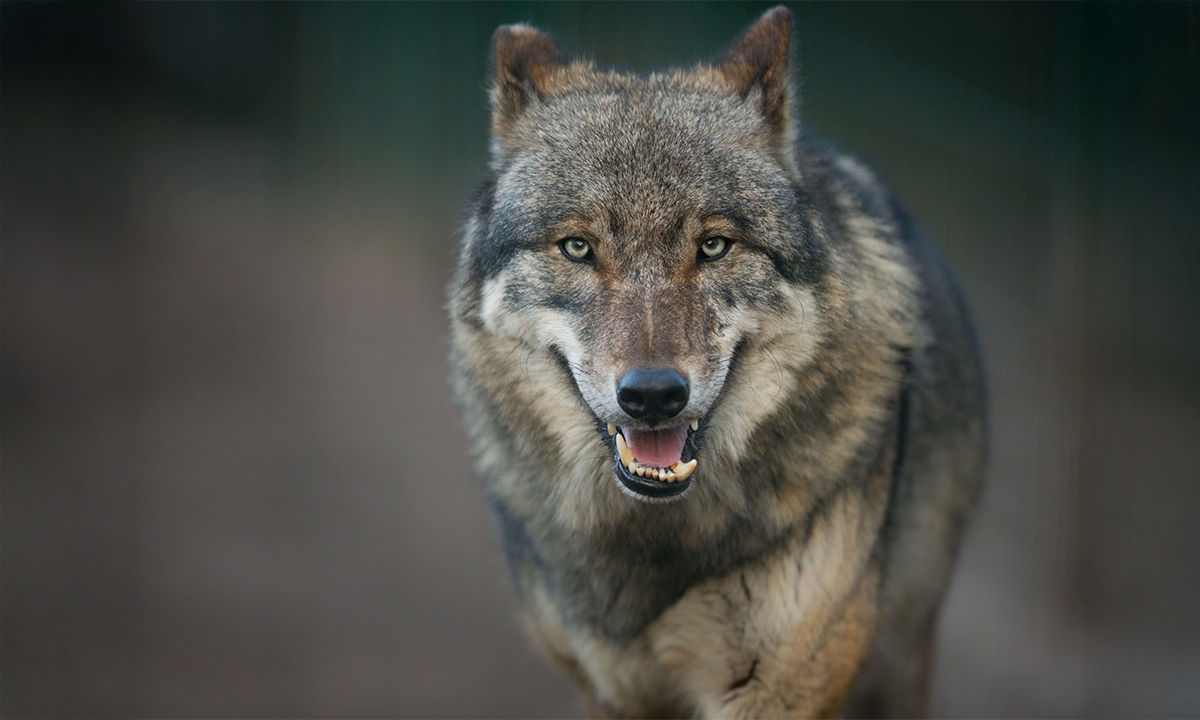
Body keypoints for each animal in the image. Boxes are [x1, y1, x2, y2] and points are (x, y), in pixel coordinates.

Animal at [449, 7, 986, 718]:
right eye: (577, 248)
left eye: (713, 246)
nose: (653, 395)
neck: (655, 545)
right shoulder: (610, 690)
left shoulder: (779, 690)